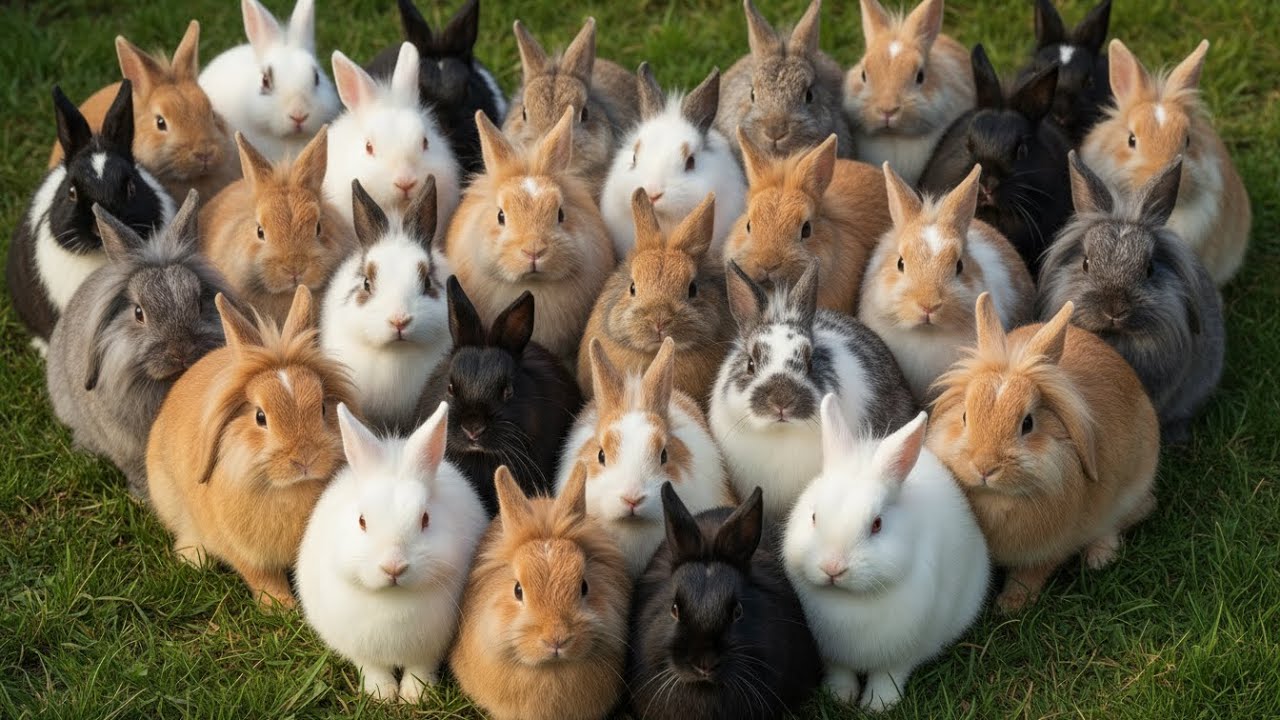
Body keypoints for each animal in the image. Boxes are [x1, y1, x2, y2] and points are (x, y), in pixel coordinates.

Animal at [146, 285, 357, 608]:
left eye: (323, 407)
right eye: (260, 417)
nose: (305, 458)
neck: (289, 490)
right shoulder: (244, 552)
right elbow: (264, 579)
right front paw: (281, 607)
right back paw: (194, 559)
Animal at [296, 402, 488, 702]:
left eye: (425, 519)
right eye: (362, 521)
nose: (394, 567)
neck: (393, 599)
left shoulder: (429, 649)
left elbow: (420, 668)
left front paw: (414, 696)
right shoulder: (360, 648)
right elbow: (372, 667)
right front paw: (382, 694)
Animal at [783, 399, 991, 711]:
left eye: (877, 525)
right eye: (814, 517)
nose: (833, 568)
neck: (848, 600)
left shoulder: (902, 653)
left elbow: (888, 676)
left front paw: (877, 705)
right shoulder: (832, 654)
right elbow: (840, 672)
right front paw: (839, 696)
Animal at [929, 293, 1160, 612]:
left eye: (1028, 424)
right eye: (964, 416)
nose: (985, 467)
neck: (996, 498)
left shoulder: (1049, 548)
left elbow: (1030, 575)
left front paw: (1010, 605)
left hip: (1133, 489)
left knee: (1133, 514)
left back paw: (1099, 557)